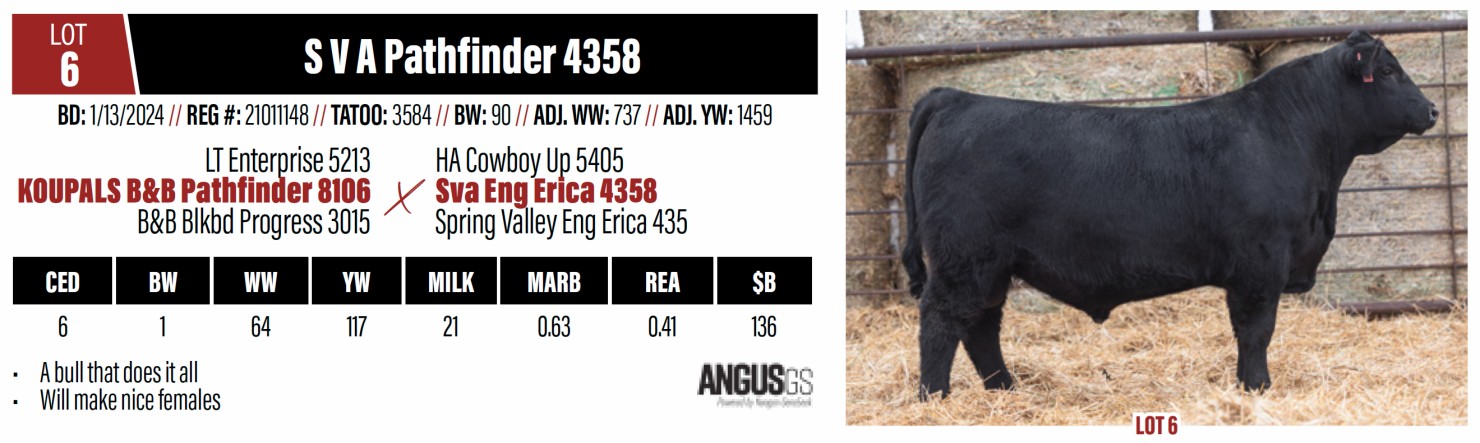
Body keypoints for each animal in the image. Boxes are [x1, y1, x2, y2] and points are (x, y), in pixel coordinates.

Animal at [903, 31, 1438, 399]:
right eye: (1387, 72)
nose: (1431, 110)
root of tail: (955, 97)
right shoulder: (1261, 263)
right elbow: (1256, 331)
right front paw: (1257, 389)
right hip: (963, 258)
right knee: (941, 321)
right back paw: (936, 398)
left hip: (991, 265)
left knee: (981, 326)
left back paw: (1006, 391)